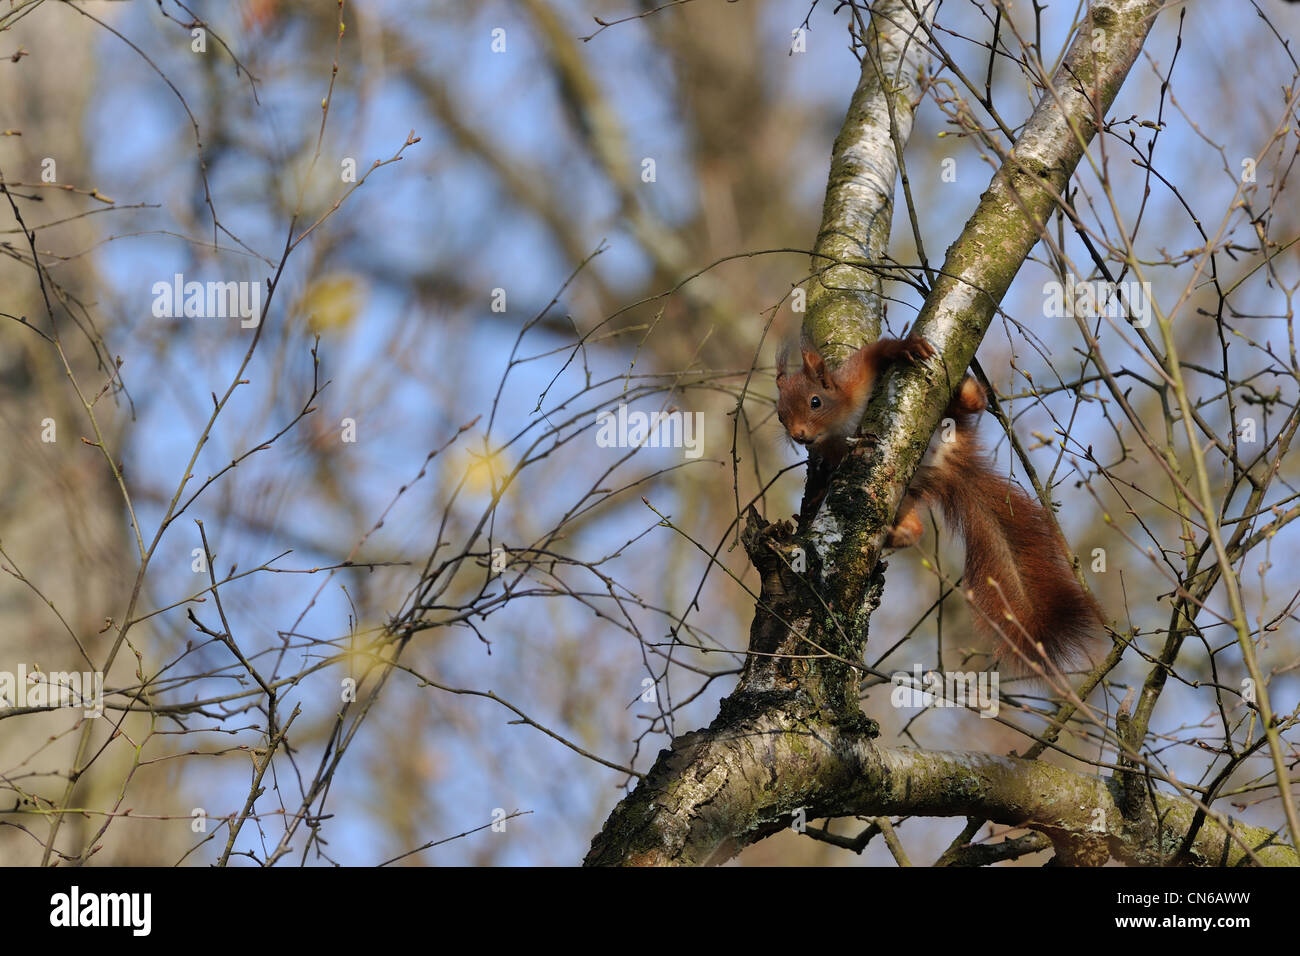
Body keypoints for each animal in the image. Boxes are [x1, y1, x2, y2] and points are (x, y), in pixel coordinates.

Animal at [775, 333, 1100, 672]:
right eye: (780, 415)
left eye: (815, 401)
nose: (799, 436)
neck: (839, 426)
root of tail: (947, 463)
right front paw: (818, 492)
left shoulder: (856, 377)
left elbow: (878, 351)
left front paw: (906, 346)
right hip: (904, 491)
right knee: (913, 530)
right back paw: (894, 533)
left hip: (951, 420)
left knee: (974, 404)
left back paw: (965, 388)